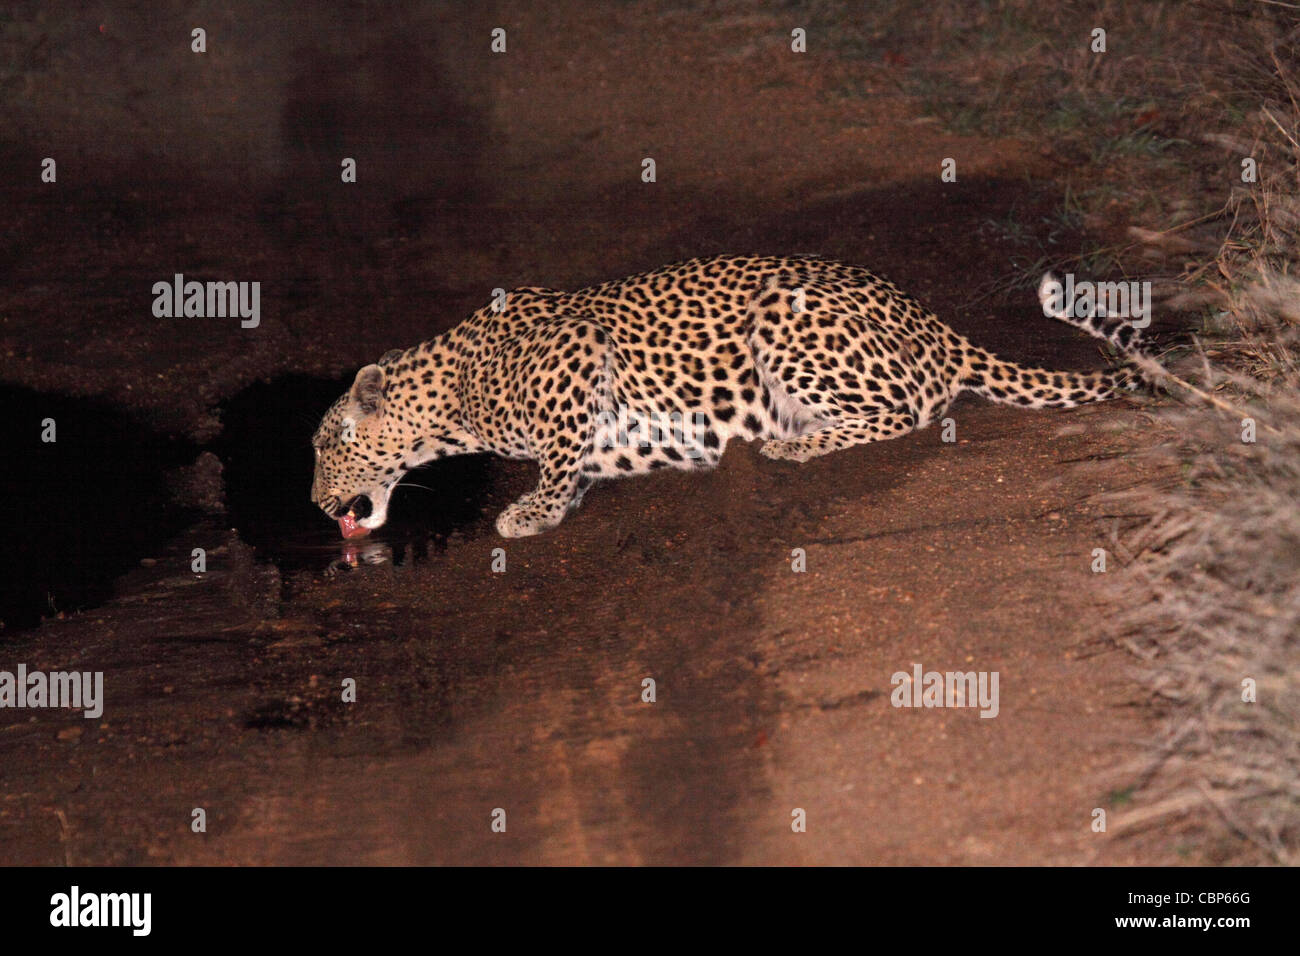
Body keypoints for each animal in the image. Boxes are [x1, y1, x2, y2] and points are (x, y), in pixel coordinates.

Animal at [310, 255, 1148, 538]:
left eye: (324, 449)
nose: (316, 506)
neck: (449, 397)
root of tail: (929, 318)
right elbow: (579, 461)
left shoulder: (577, 353)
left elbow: (557, 455)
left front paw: (533, 511)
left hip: (785, 312)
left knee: (910, 412)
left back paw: (788, 441)